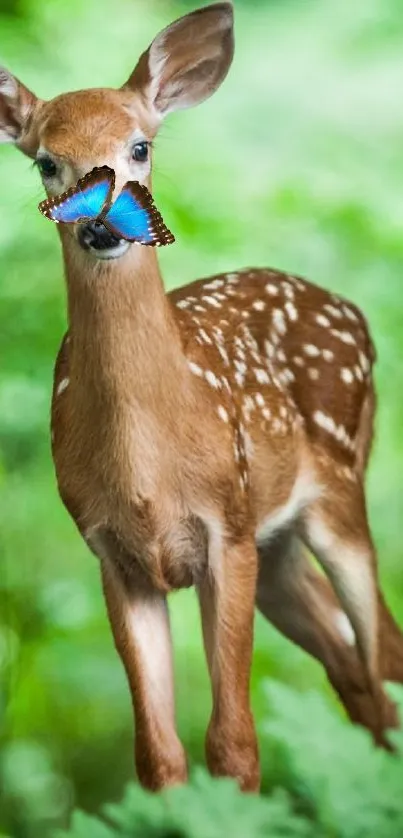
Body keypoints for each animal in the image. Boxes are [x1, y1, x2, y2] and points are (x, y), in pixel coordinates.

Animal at [1, 0, 403, 795]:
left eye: (140, 148)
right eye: (45, 160)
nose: (101, 226)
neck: (147, 469)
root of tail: (347, 307)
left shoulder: (227, 526)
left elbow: (234, 743)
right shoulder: (113, 554)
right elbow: (158, 756)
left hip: (337, 495)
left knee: (382, 663)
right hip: (278, 548)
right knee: (353, 670)